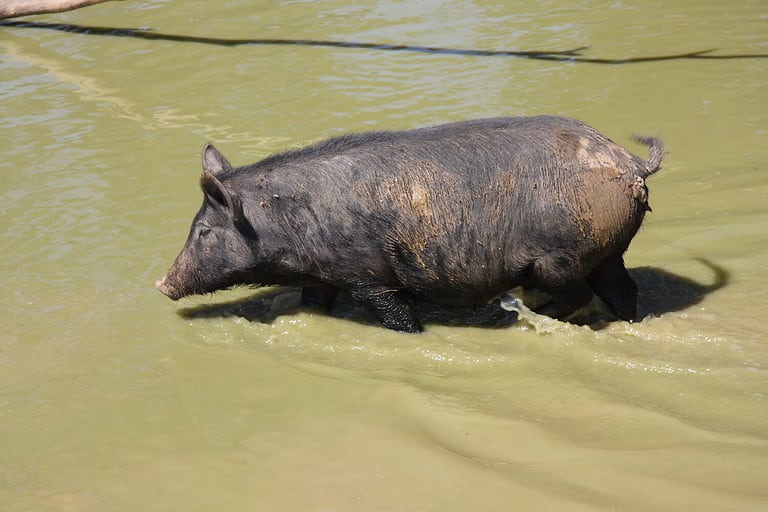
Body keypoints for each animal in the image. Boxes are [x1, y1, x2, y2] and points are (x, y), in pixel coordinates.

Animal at [156, 115, 663, 332]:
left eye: (203, 232)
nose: (161, 284)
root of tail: (632, 164)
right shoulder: (324, 276)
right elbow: (313, 302)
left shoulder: (369, 278)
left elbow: (399, 319)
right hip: (607, 250)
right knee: (623, 291)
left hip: (560, 256)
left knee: (575, 293)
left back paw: (513, 316)